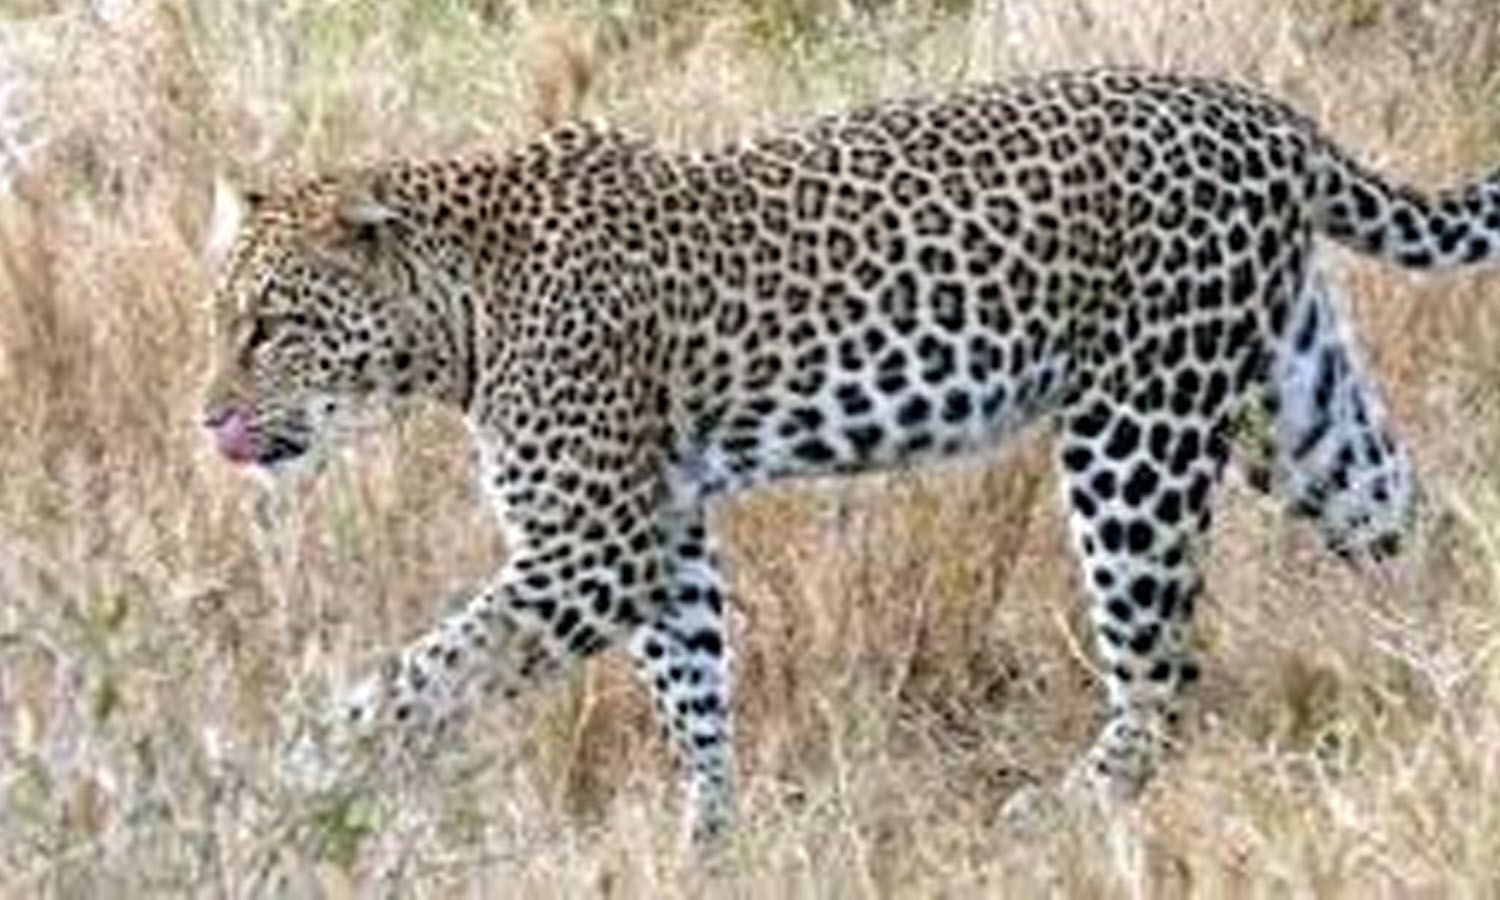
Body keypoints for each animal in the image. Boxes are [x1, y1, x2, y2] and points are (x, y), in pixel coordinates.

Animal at [203, 68, 1500, 841]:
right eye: (224, 318)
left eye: (271, 323)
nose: (209, 418)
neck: (463, 314)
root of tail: (1266, 116)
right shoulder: (659, 535)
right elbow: (692, 686)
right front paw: (707, 839)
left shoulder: (592, 550)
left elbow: (430, 669)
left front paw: (306, 771)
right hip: (1293, 399)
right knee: (1406, 518)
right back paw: (1449, 679)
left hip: (1137, 429)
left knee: (1164, 666)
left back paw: (1069, 808)